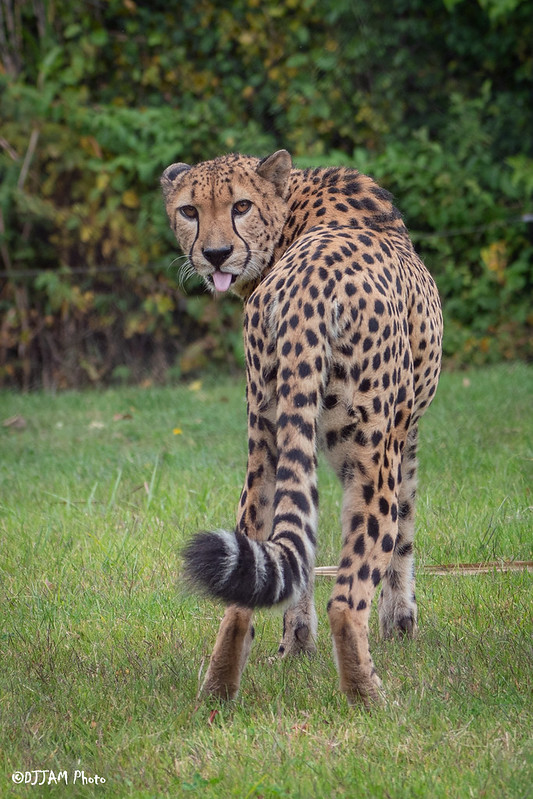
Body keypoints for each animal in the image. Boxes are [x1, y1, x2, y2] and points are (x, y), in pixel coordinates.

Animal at [161, 149, 443, 707]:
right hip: (371, 462)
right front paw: (401, 624)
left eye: (240, 205)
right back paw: (371, 699)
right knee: (347, 598)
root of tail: (309, 285)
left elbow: (298, 558)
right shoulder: (404, 440)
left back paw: (217, 693)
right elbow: (405, 533)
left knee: (242, 590)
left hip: (264, 444)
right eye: (190, 211)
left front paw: (295, 647)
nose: (217, 254)